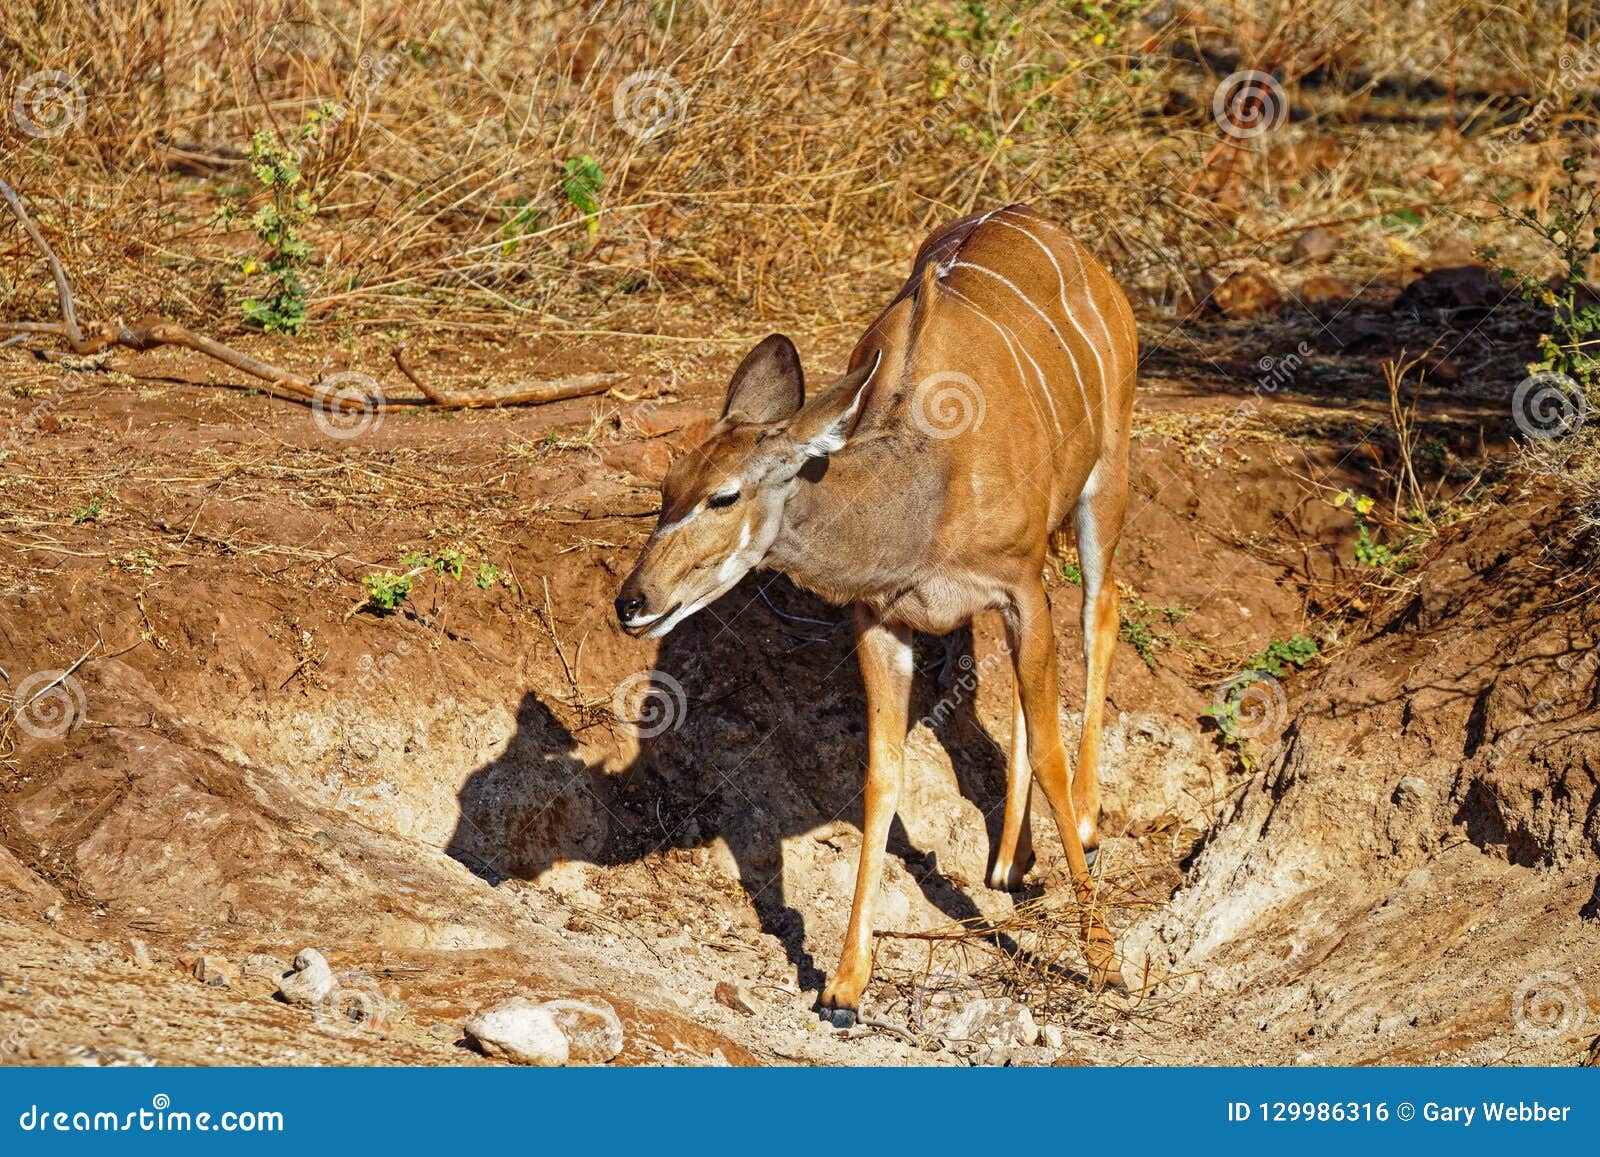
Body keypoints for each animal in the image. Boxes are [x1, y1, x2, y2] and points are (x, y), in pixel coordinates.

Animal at [615, 203, 1137, 1020]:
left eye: (723, 495)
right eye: (666, 486)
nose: (633, 602)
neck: (926, 484)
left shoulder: (1018, 583)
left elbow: (1050, 748)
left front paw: (1107, 963)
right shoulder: (882, 618)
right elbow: (880, 775)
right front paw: (844, 984)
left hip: (1106, 475)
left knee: (1099, 609)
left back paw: (1082, 819)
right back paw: (1010, 861)